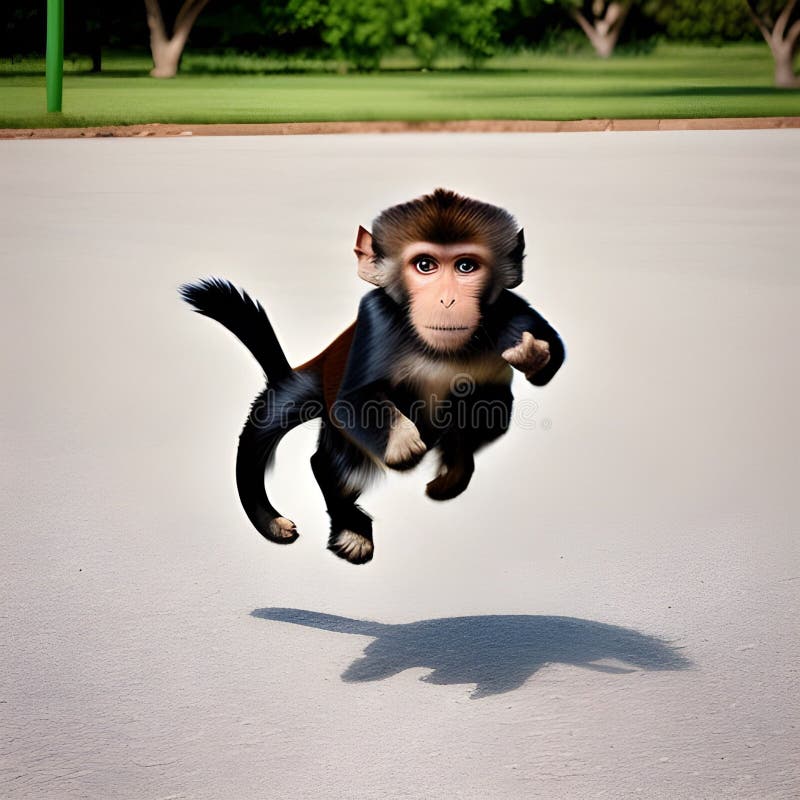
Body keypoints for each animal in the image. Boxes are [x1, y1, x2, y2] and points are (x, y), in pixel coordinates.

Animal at [180, 189, 565, 565]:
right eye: (425, 265)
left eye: (466, 266)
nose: (447, 300)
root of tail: (323, 360)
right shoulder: (375, 316)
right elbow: (351, 402)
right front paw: (401, 441)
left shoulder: (508, 308)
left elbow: (546, 357)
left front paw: (534, 354)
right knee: (331, 460)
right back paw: (350, 524)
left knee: (491, 405)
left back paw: (455, 466)